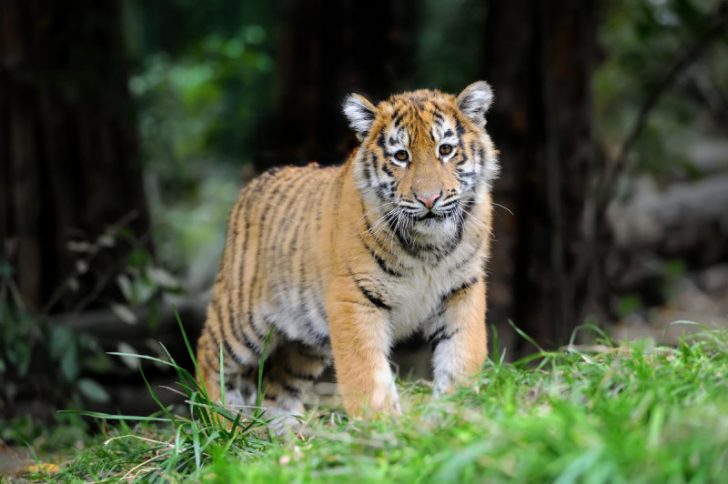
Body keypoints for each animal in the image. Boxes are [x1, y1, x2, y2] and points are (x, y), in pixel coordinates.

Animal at [195, 81, 499, 424]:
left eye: (445, 150)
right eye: (401, 156)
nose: (429, 199)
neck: (427, 247)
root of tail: (254, 183)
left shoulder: (462, 288)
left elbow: (462, 354)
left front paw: (457, 410)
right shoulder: (354, 299)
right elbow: (366, 374)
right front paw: (382, 425)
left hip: (306, 340)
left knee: (277, 387)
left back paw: (288, 434)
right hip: (242, 319)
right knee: (209, 356)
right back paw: (223, 420)